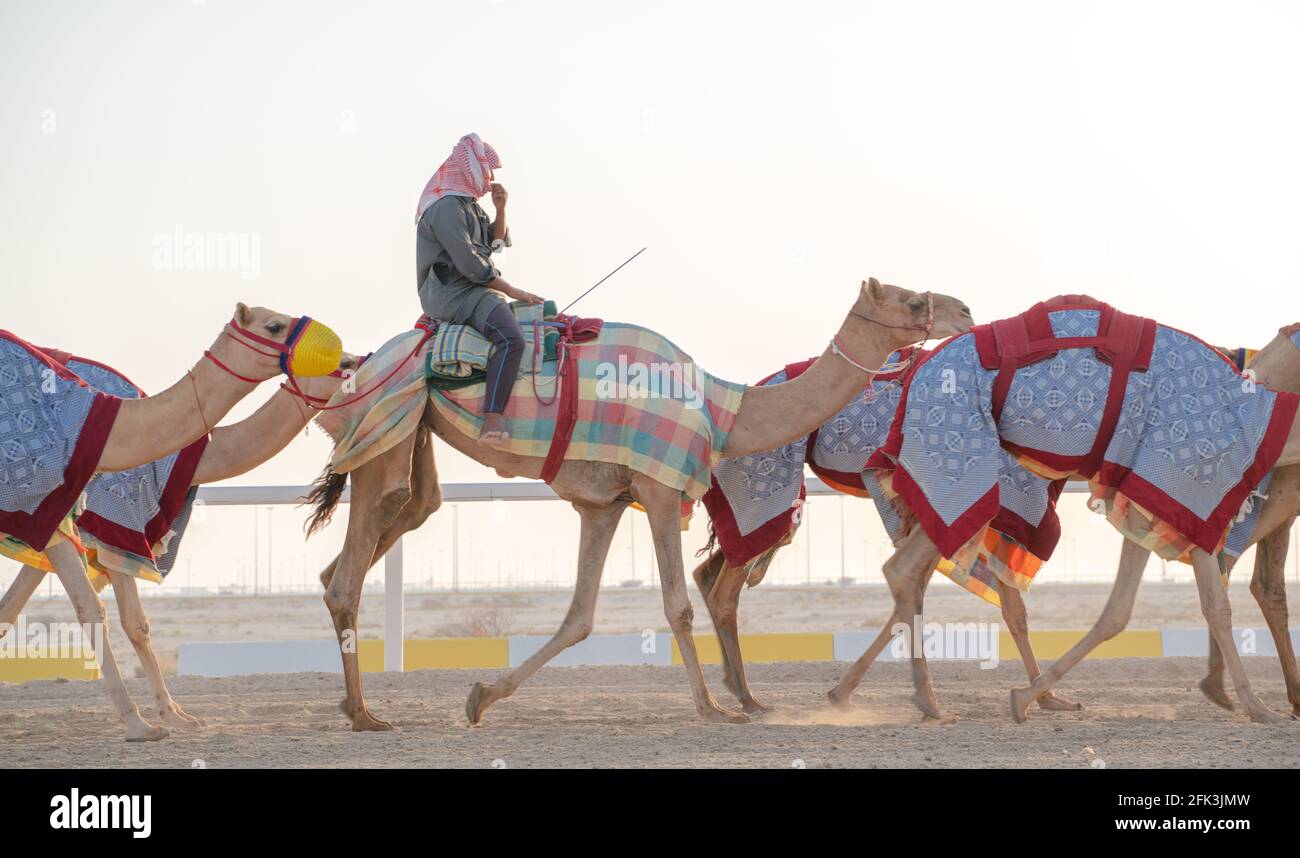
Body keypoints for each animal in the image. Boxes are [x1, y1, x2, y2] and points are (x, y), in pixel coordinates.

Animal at [0, 304, 342, 740]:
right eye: (274, 325)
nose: (350, 360)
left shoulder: (86, 531)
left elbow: (129, 619)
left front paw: (177, 715)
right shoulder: (89, 518)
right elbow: (94, 609)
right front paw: (139, 723)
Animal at [304, 279, 973, 730]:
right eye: (912, 302)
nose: (964, 309)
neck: (724, 408)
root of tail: (364, 362)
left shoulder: (603, 504)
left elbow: (580, 616)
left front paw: (481, 697)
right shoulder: (659, 486)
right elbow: (677, 605)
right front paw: (713, 709)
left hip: (414, 435)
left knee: (393, 524)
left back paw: (352, 702)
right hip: (387, 426)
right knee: (351, 567)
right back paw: (365, 714)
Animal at [824, 316, 1300, 725]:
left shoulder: (1146, 497)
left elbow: (1119, 611)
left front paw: (1028, 696)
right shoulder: (1194, 484)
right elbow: (1216, 605)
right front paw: (1259, 707)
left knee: (916, 570)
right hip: (959, 459)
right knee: (906, 570)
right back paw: (923, 701)